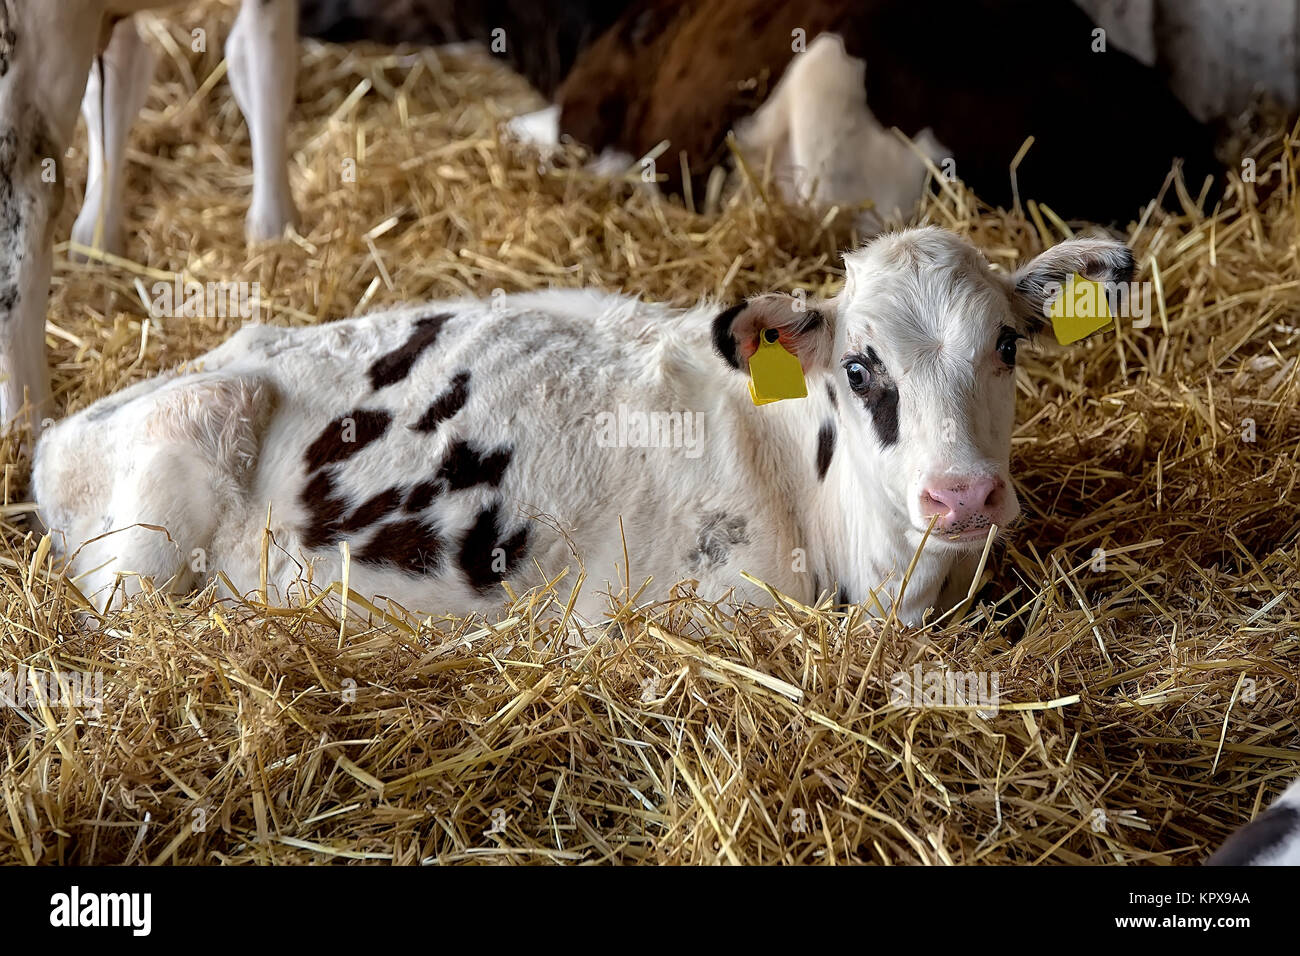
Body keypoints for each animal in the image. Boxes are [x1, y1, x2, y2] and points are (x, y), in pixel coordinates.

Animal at [0, 0, 298, 438]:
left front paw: (98, 237)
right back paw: (26, 422)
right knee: (28, 204)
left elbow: (118, 79)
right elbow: (265, 61)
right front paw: (275, 224)